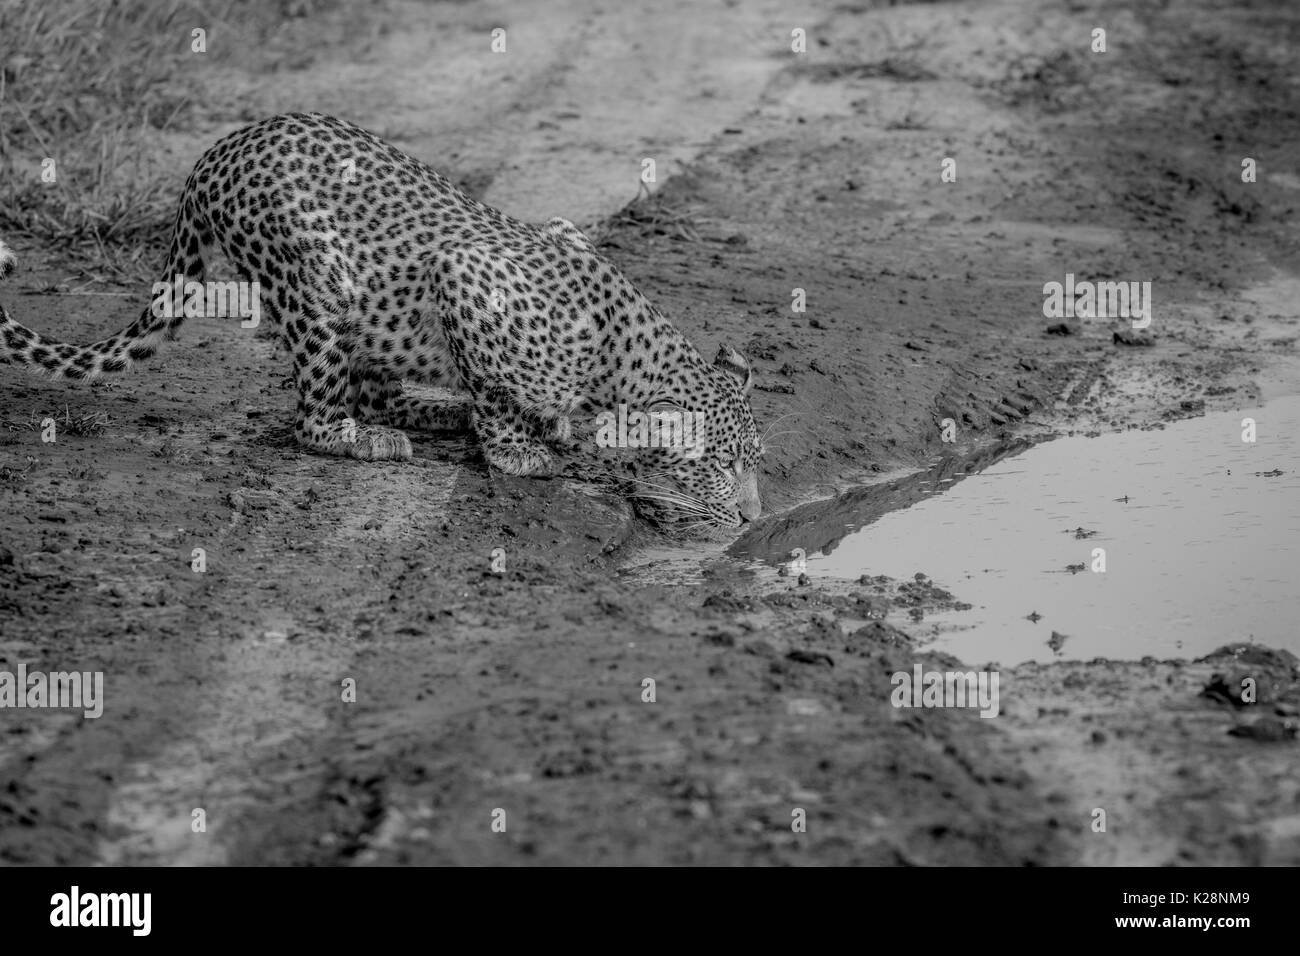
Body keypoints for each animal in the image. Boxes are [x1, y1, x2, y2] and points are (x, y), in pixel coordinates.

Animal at [0, 112, 763, 534]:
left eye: (753, 463)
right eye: (722, 466)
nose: (754, 517)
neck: (617, 358)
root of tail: (216, 151)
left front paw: (543, 428)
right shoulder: (463, 279)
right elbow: (495, 393)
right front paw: (517, 452)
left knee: (373, 387)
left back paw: (431, 414)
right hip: (314, 285)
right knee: (316, 412)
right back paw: (358, 439)